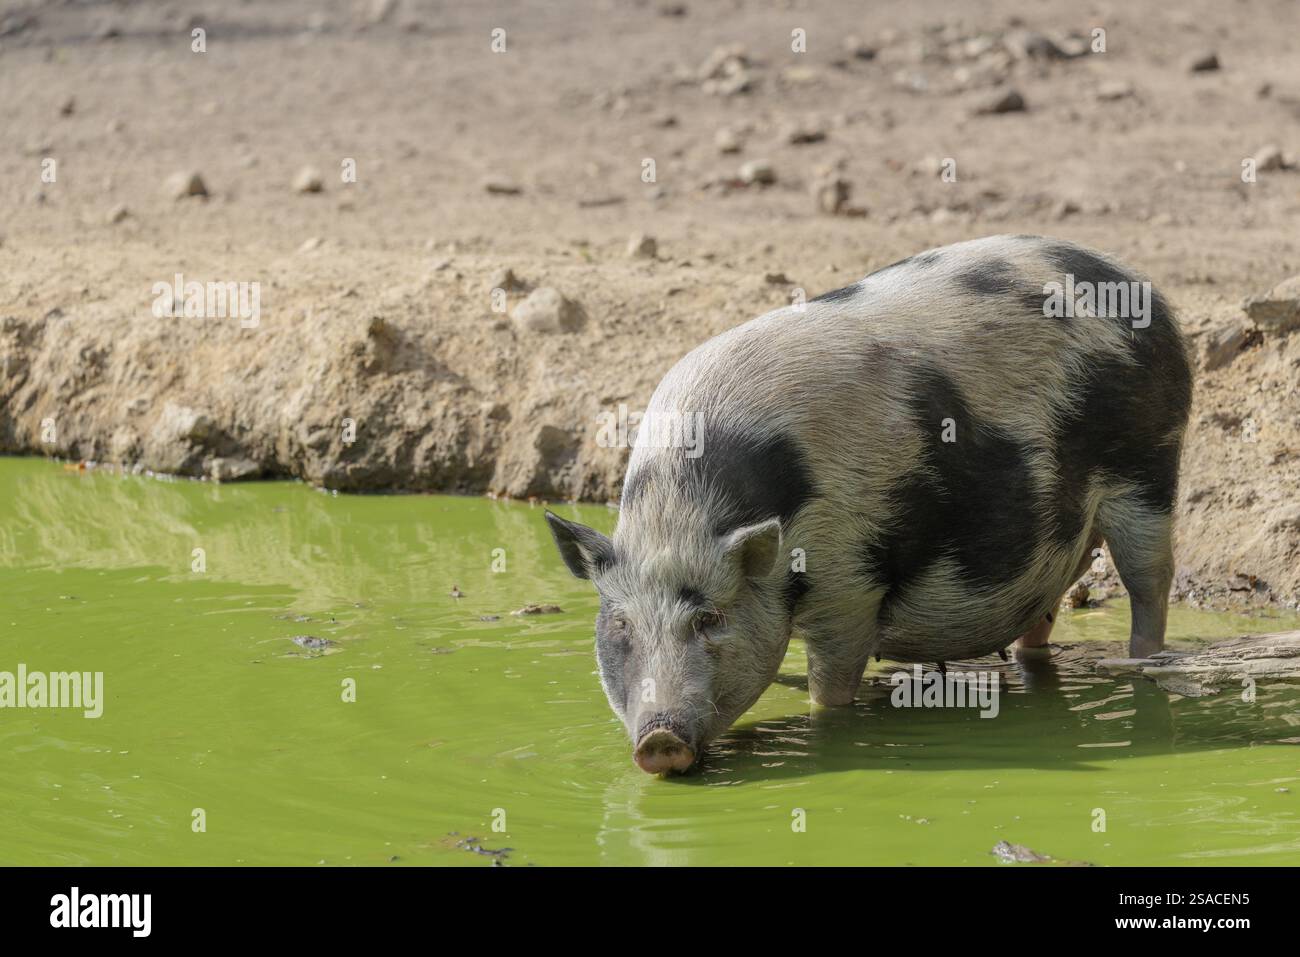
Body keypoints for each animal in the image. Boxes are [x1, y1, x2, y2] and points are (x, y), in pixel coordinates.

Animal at [546, 235, 1193, 774]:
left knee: (1150, 582)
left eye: (711, 618)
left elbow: (831, 688)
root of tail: (1140, 288)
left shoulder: (850, 584)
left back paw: (1143, 664)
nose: (660, 741)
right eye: (621, 624)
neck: (680, 516)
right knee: (1044, 614)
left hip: (1149, 467)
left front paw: (826, 731)